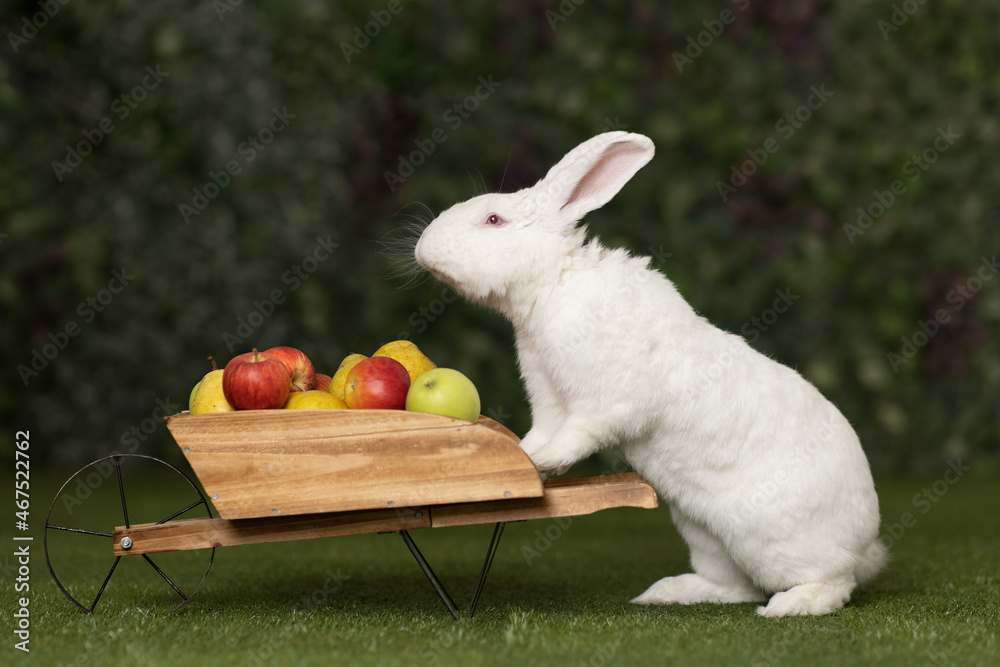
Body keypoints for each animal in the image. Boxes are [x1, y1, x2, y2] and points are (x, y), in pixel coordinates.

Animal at [413, 131, 887, 617]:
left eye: (494, 219)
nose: (423, 246)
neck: (557, 283)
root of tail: (866, 540)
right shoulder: (548, 399)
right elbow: (540, 434)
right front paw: (524, 458)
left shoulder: (603, 404)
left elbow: (577, 437)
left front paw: (543, 463)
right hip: (705, 536)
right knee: (736, 585)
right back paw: (671, 592)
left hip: (778, 543)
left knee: (833, 583)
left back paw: (791, 605)